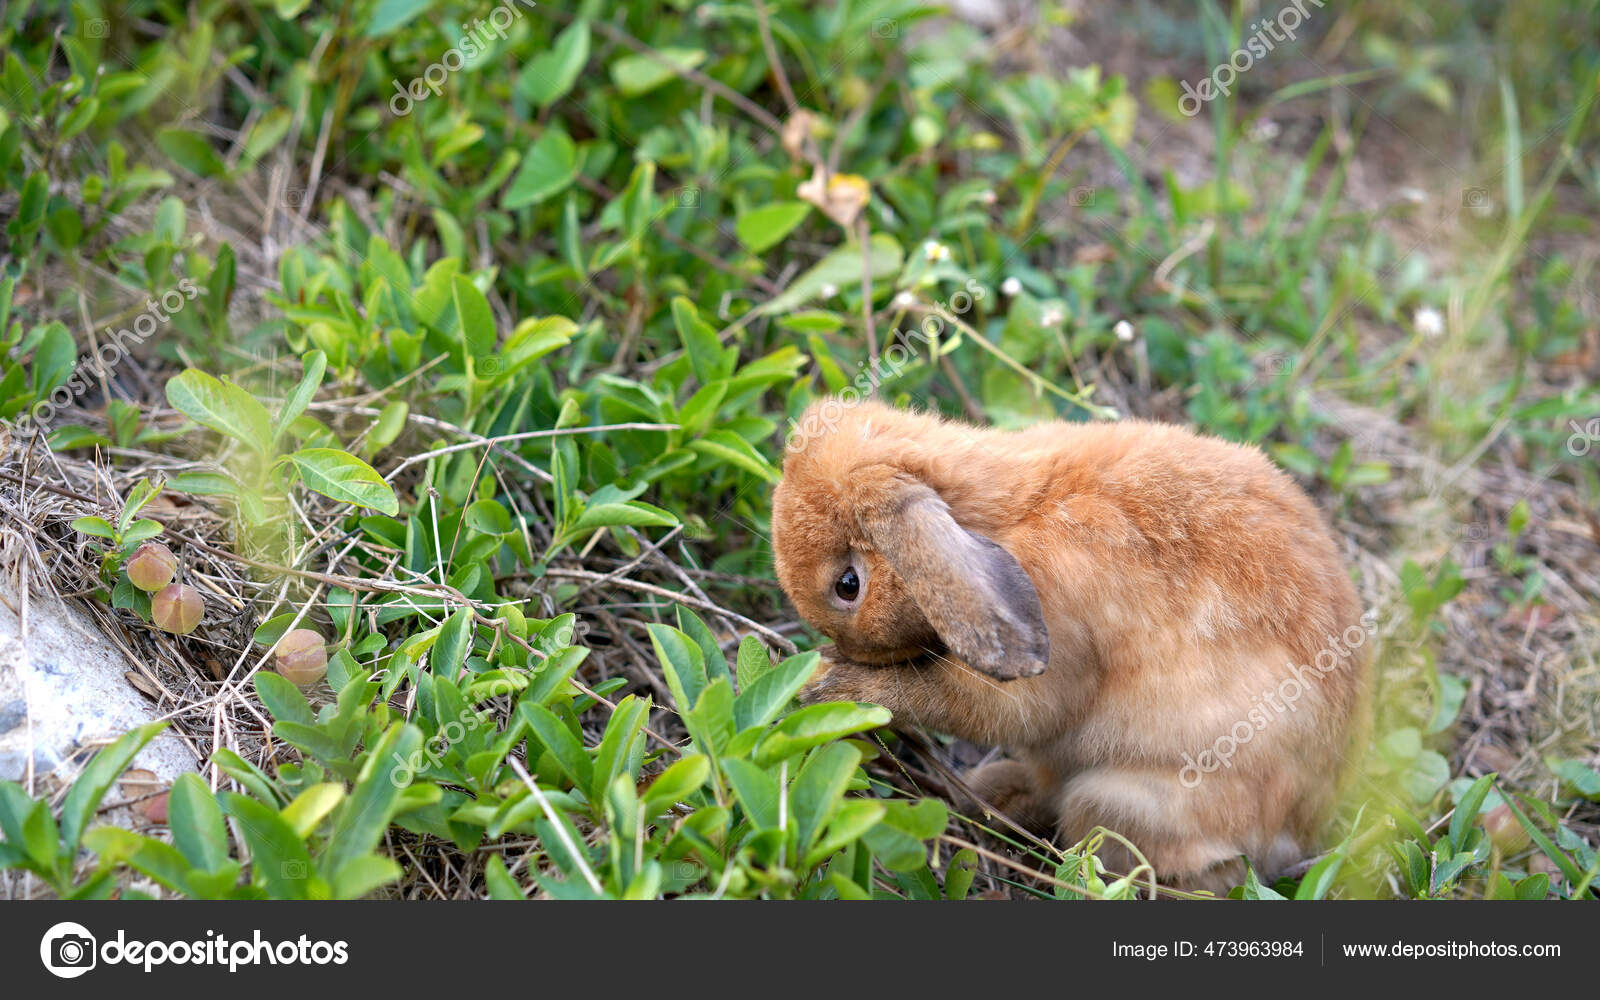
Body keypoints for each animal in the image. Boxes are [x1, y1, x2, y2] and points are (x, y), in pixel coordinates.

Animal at [770, 397, 1371, 893]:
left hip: (1118, 802)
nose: (842, 651)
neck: (1013, 512)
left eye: (849, 585)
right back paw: (992, 795)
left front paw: (829, 685)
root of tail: (1299, 833)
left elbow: (978, 705)